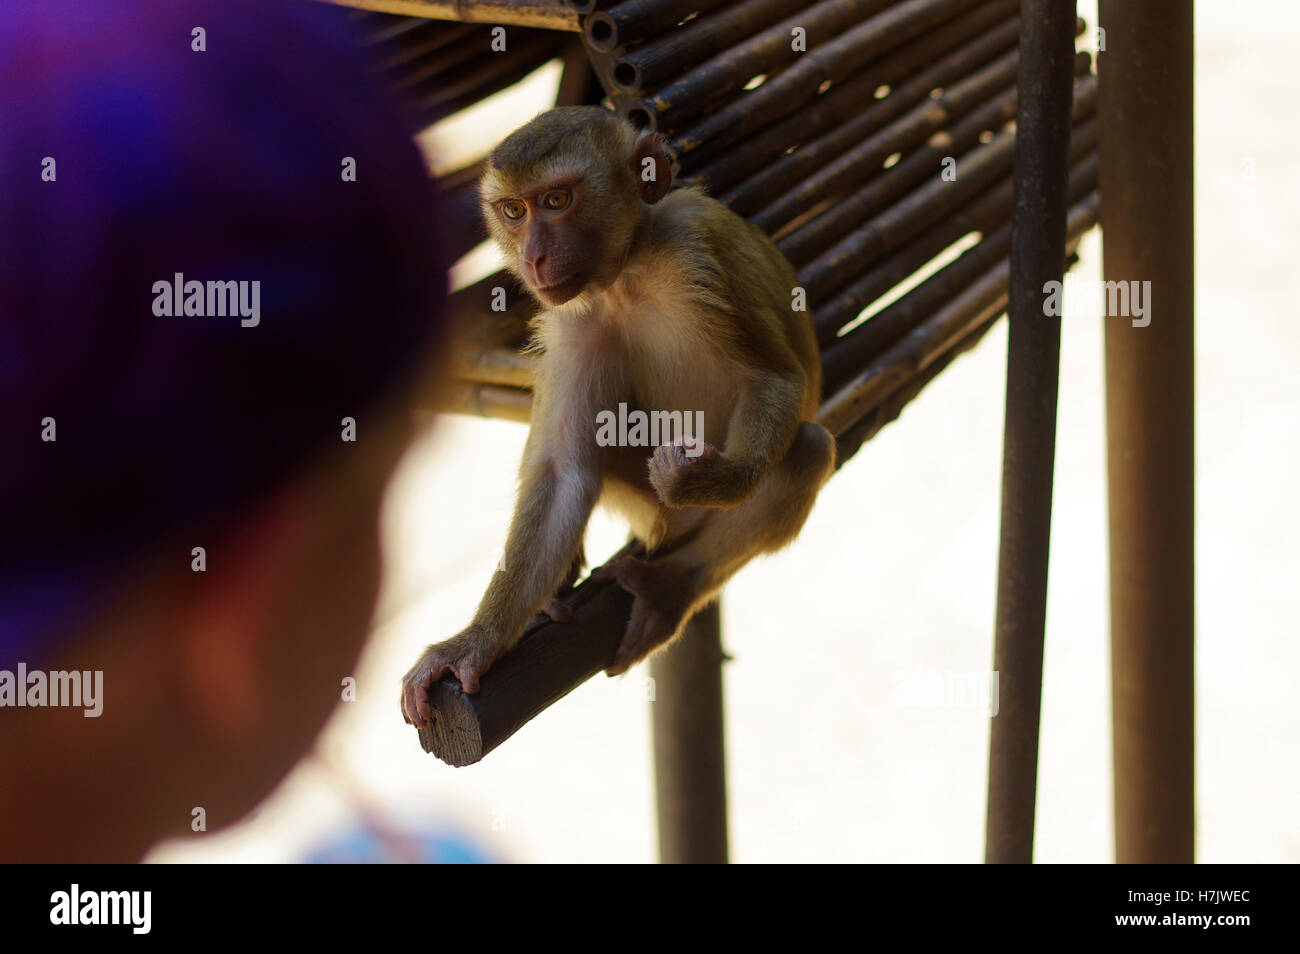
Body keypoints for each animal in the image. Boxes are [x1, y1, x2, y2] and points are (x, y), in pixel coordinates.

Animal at [400, 105, 835, 726]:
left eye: (558, 199)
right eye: (514, 211)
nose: (533, 257)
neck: (628, 270)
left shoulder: (695, 250)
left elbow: (777, 380)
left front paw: (706, 478)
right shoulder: (574, 321)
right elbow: (564, 473)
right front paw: (474, 642)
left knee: (808, 450)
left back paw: (671, 586)